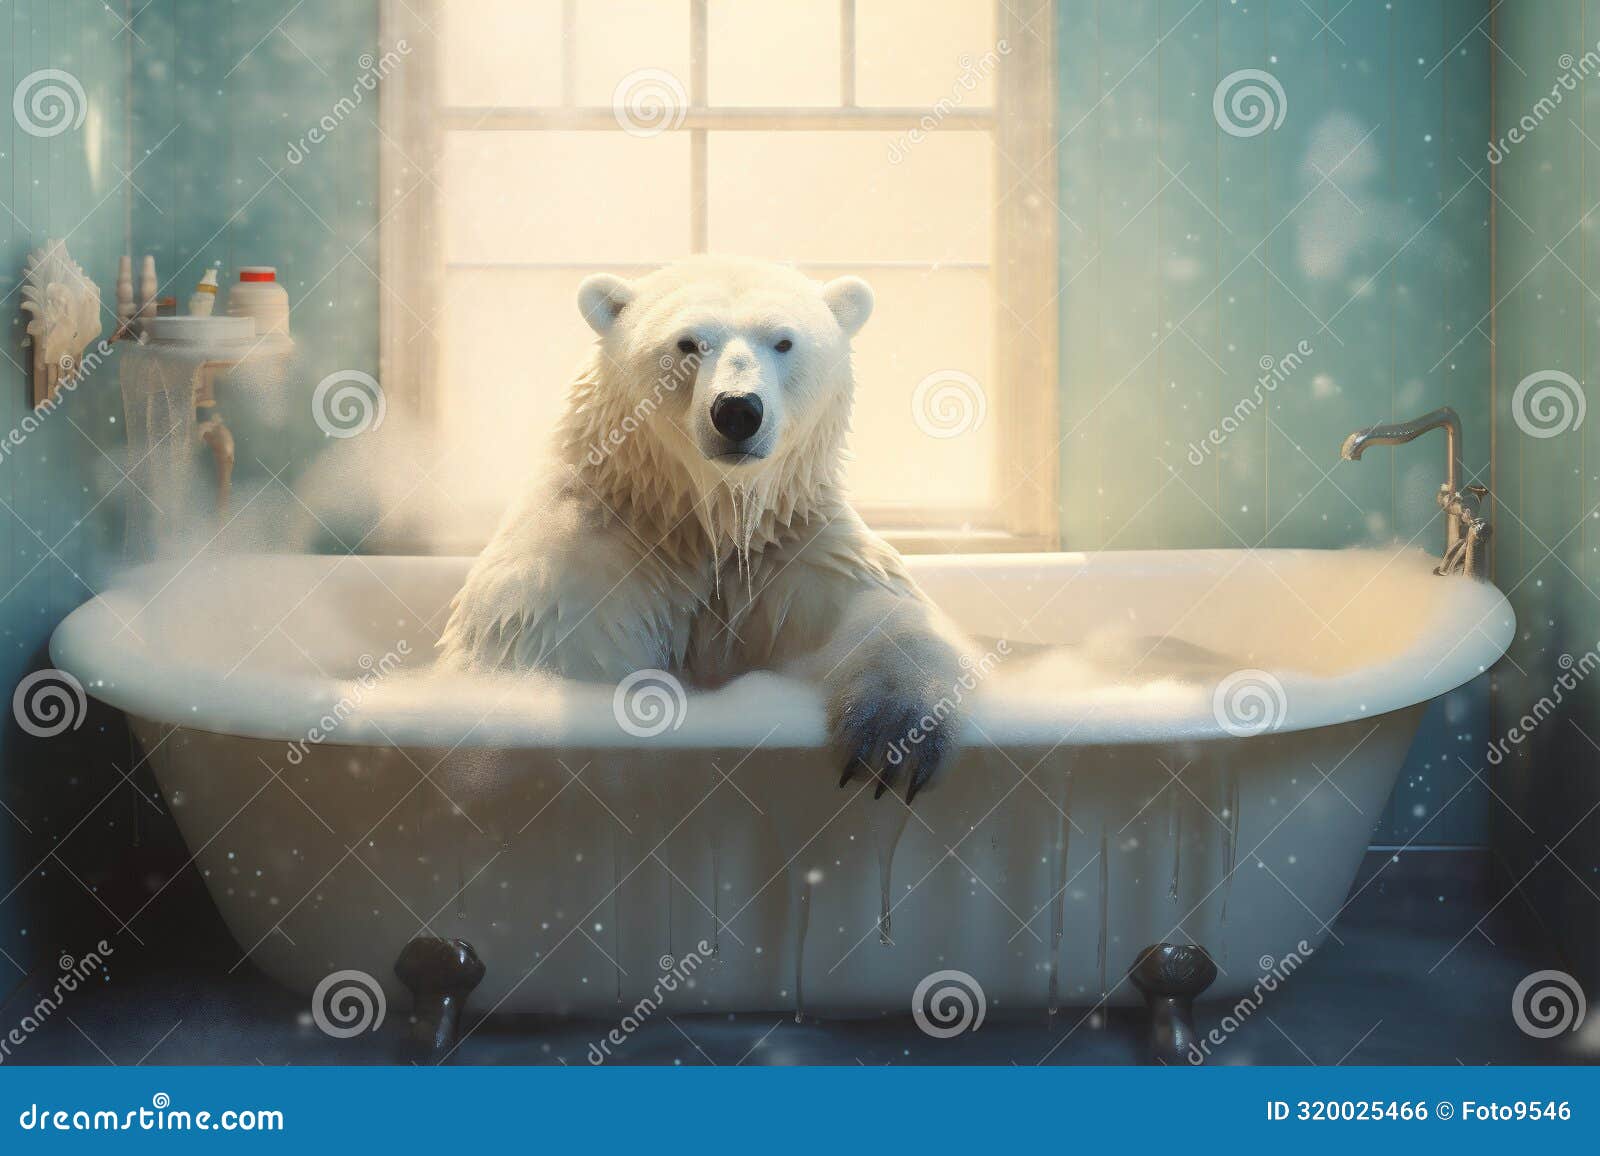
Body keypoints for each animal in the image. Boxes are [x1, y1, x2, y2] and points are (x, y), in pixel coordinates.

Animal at [437, 256, 972, 802]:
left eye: (783, 341)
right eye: (687, 343)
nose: (737, 410)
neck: (700, 523)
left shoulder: (795, 547)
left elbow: (881, 611)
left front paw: (894, 734)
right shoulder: (586, 562)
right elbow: (549, 650)